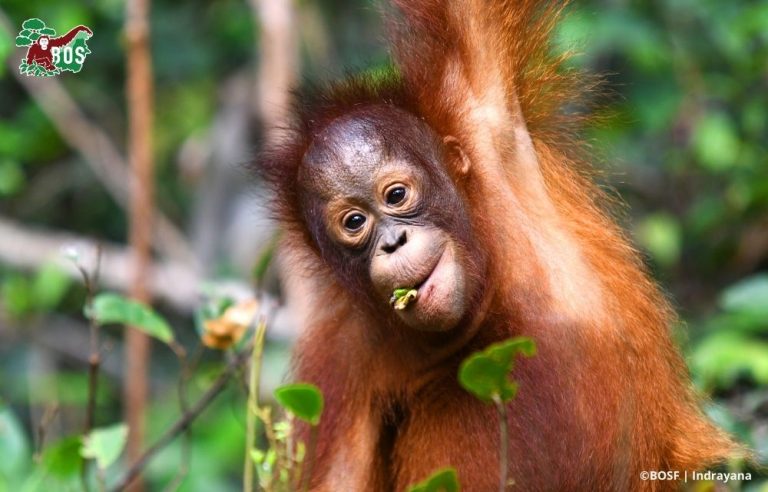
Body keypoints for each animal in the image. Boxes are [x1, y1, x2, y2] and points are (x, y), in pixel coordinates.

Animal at [256, 1, 737, 490]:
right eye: (354, 222)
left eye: (396, 195)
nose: (393, 242)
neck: (479, 314)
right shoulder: (340, 365)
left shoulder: (487, 118)